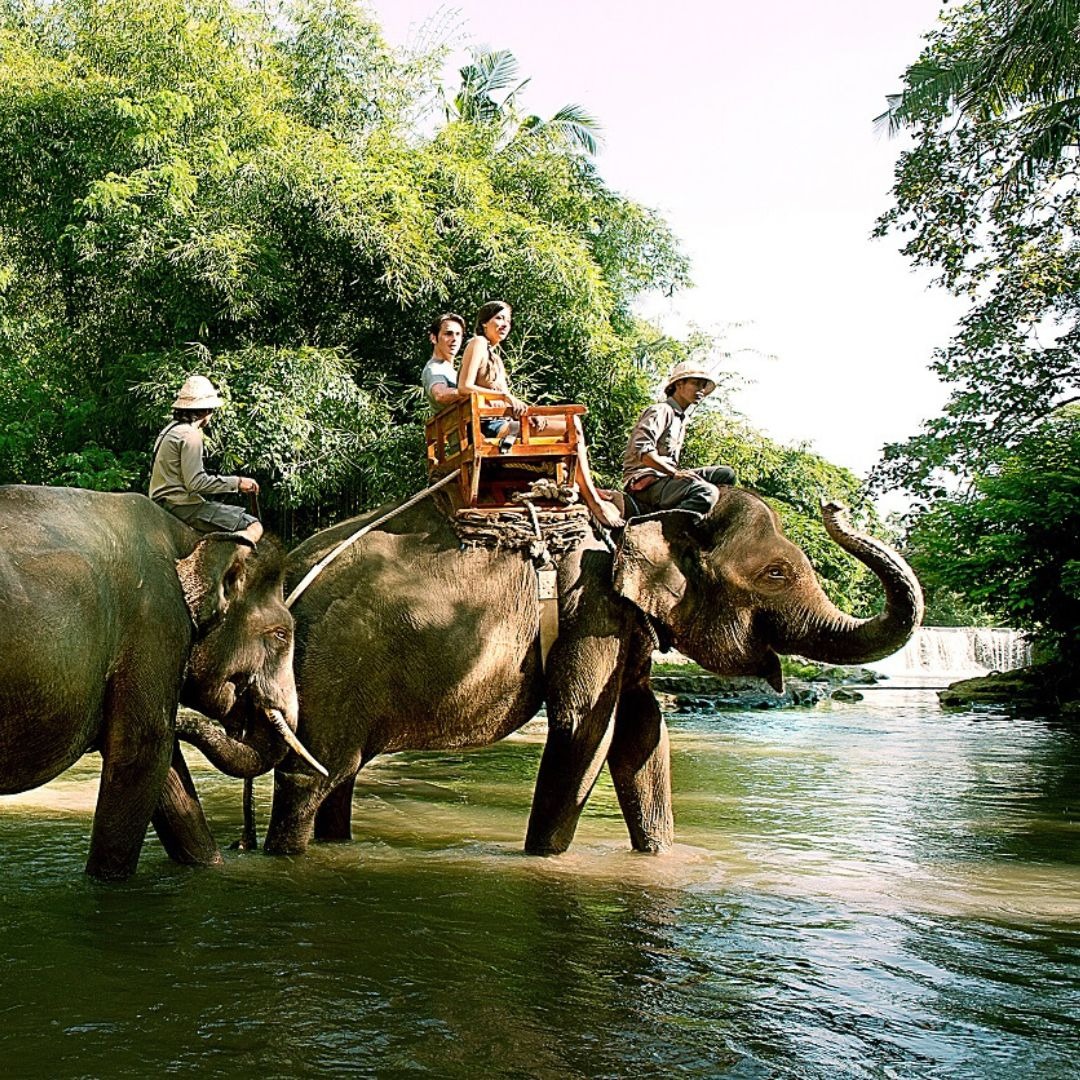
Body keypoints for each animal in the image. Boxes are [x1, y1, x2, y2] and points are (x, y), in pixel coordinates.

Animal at [0, 484, 316, 880]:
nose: (242, 843)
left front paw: (210, 866)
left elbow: (169, 771)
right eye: (280, 634)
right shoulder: (155, 624)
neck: (188, 538)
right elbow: (144, 749)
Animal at [238, 486, 922, 859]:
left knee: (342, 773)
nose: (835, 504)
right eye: (778, 573)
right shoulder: (590, 605)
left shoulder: (622, 620)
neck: (638, 514)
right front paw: (541, 860)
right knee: (309, 777)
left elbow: (643, 733)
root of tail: (281, 584)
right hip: (326, 669)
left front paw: (660, 858)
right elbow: (583, 728)